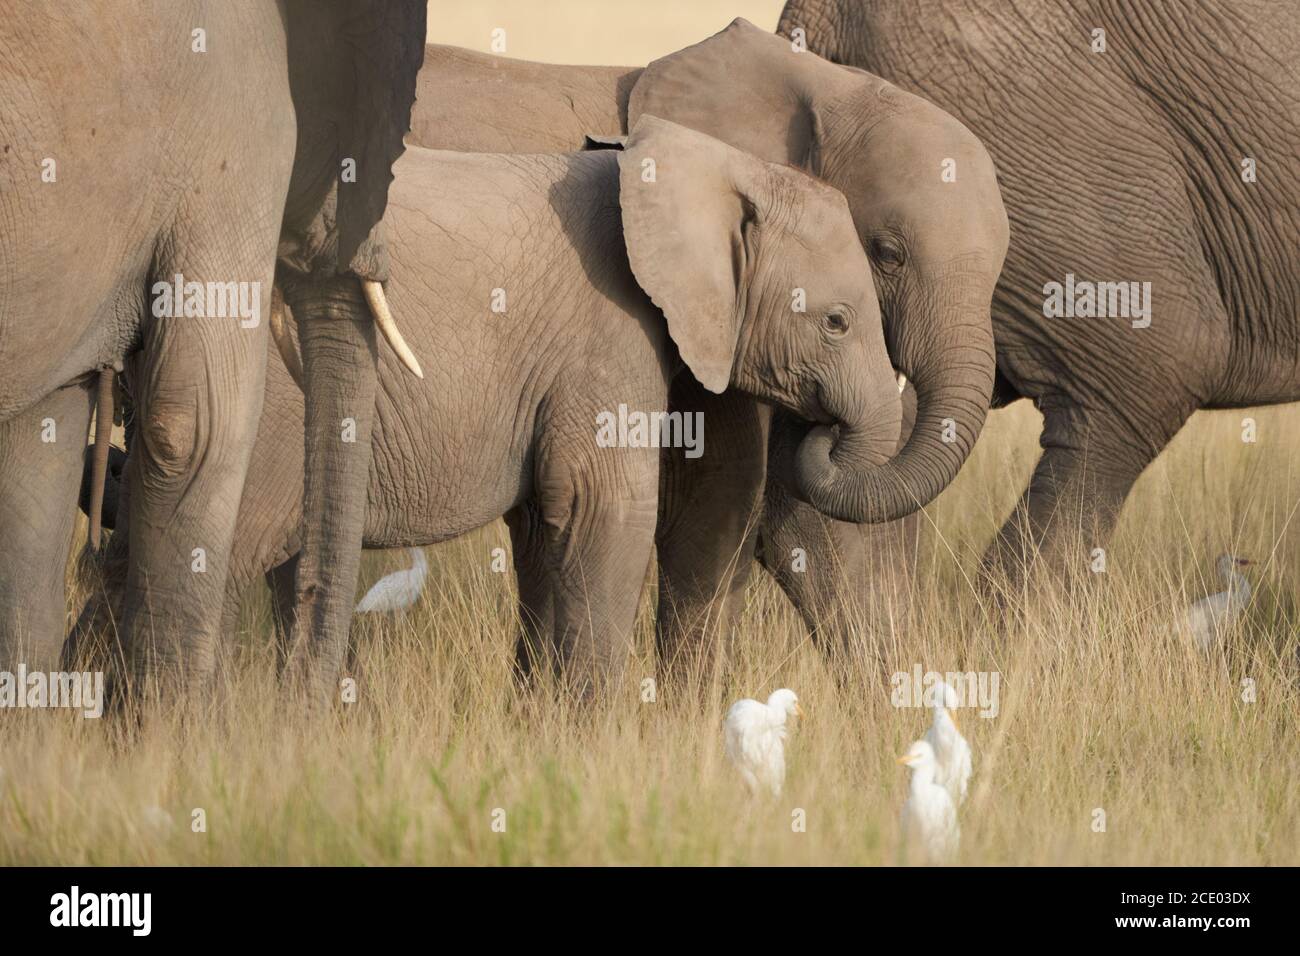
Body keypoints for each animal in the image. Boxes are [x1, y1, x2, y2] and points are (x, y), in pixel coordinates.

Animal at [73, 116, 907, 696]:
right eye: (837, 322)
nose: (817, 432)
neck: (711, 164)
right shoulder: (608, 328)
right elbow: (605, 510)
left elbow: (545, 532)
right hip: (268, 404)